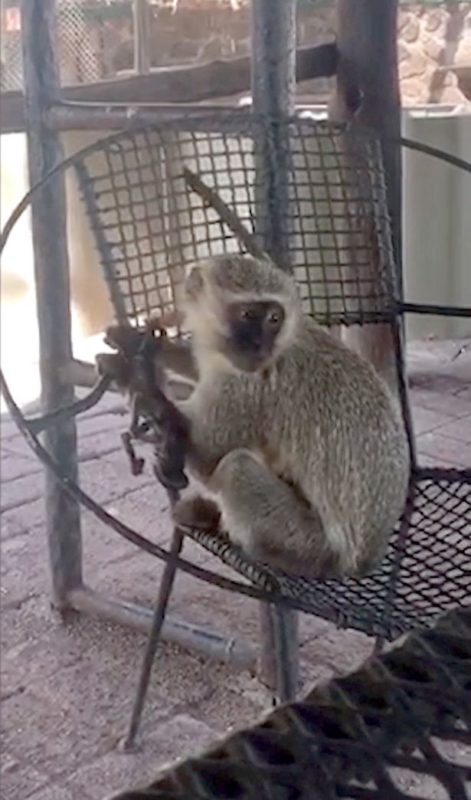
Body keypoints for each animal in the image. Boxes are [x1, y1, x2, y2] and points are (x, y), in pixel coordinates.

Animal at [111, 254, 410, 580]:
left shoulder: (249, 386)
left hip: (310, 543)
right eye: (247, 314)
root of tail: (363, 562)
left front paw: (146, 392)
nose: (259, 347)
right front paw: (144, 346)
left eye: (273, 319)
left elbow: (209, 457)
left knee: (235, 467)